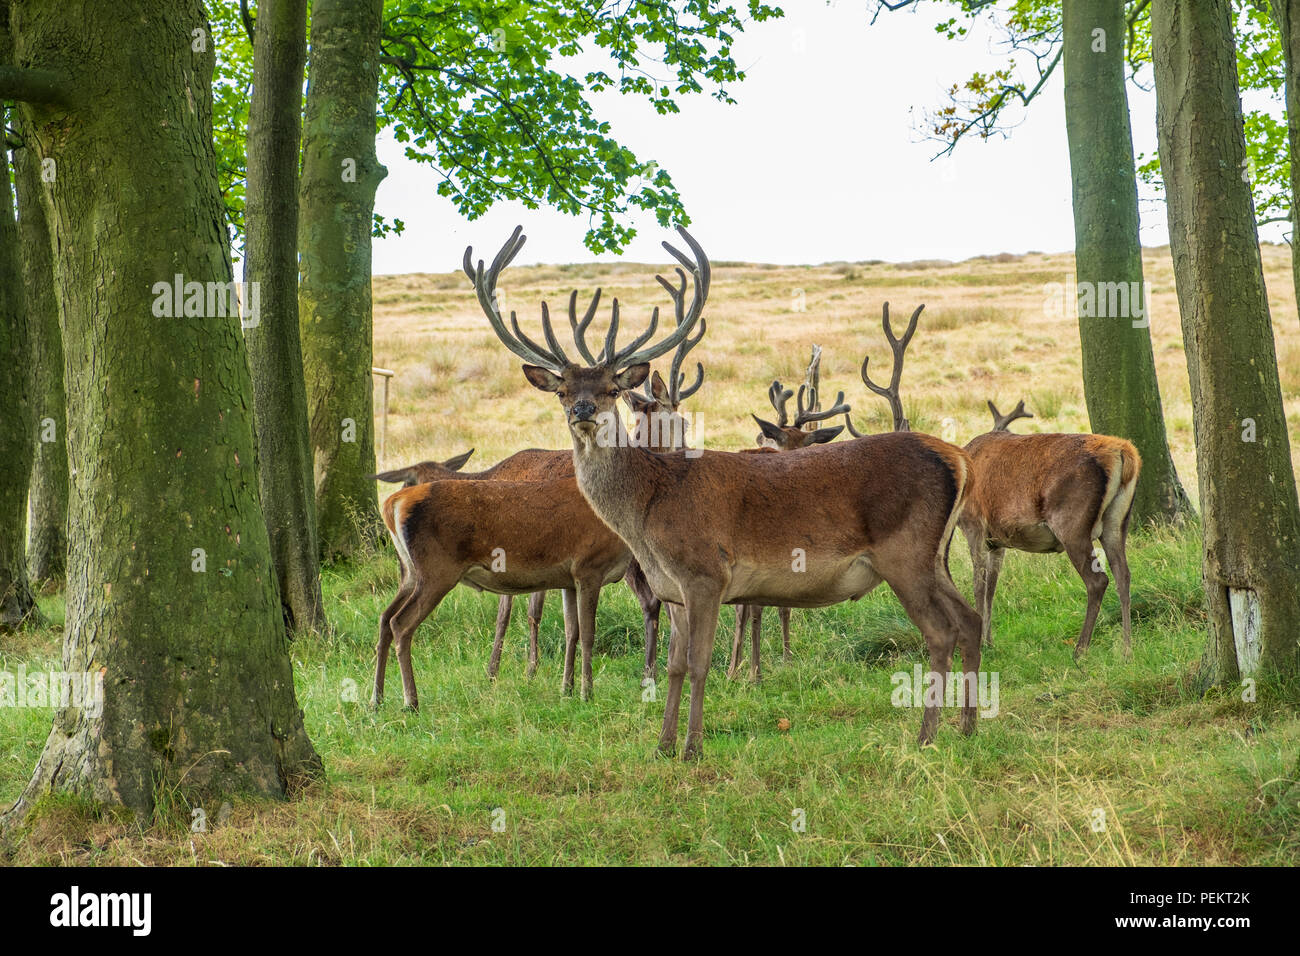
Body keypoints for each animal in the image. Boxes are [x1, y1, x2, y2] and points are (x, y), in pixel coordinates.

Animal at [958, 400, 1140, 659]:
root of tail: (1124, 452)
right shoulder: (997, 541)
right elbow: (991, 588)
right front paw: (989, 642)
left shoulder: (974, 526)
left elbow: (978, 586)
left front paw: (980, 646)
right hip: (1117, 523)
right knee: (1123, 575)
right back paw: (1127, 649)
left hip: (1071, 524)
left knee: (1098, 581)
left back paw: (1080, 650)